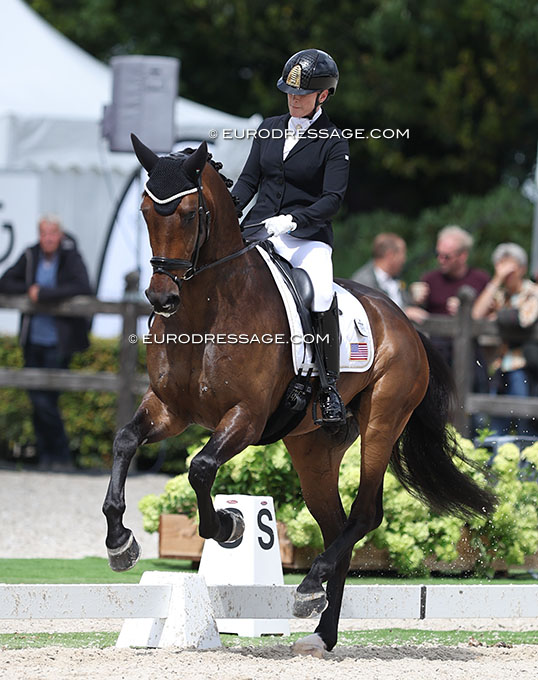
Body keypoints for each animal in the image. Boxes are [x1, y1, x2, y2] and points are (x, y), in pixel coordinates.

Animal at [103, 136, 496, 656]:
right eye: (147, 212)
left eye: (188, 214)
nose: (161, 299)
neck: (205, 310)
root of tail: (403, 321)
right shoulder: (169, 409)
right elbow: (125, 441)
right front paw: (120, 542)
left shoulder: (246, 417)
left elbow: (201, 468)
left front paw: (230, 526)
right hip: (313, 447)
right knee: (336, 523)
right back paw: (321, 630)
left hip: (382, 422)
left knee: (365, 515)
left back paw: (309, 588)